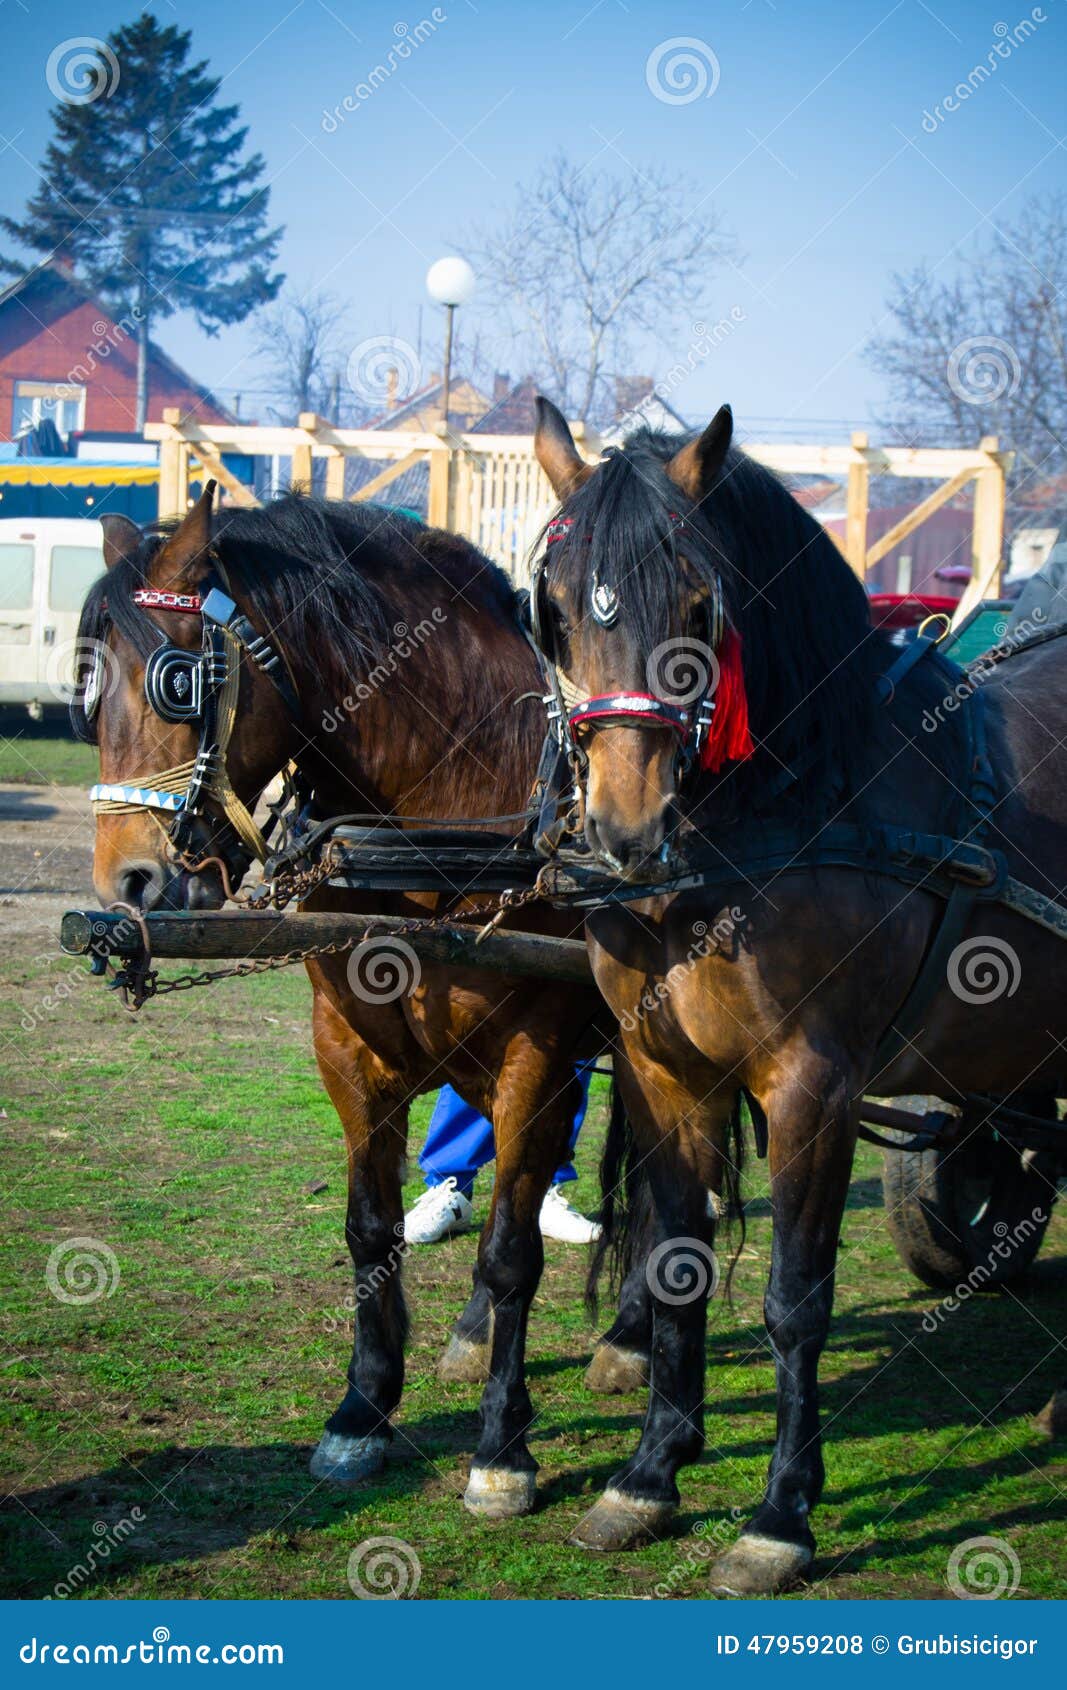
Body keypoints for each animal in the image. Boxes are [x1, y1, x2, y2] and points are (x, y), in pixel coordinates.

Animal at [73, 482, 653, 1519]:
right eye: (87, 691)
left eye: (177, 682)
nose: (127, 884)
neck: (446, 816)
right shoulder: (350, 1049)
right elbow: (368, 1230)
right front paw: (361, 1411)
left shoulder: (538, 1056)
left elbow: (513, 1251)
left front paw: (503, 1450)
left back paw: (628, 1339)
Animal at [529, 396, 1066, 1593]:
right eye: (554, 608)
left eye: (700, 604)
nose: (625, 830)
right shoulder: (661, 1071)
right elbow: (674, 1264)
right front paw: (648, 1476)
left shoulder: (811, 1088)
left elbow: (793, 1299)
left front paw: (780, 1515)